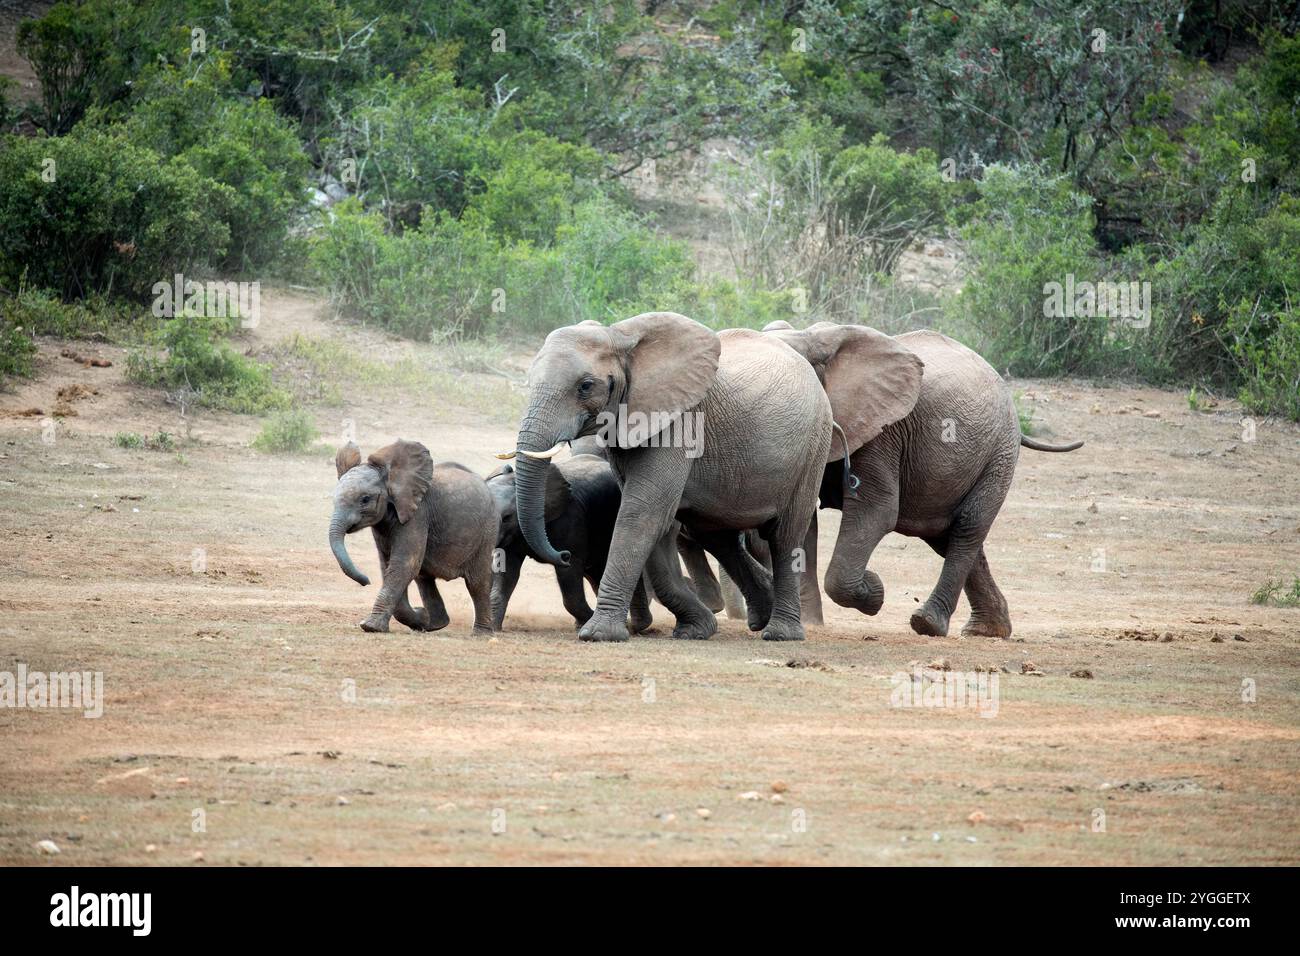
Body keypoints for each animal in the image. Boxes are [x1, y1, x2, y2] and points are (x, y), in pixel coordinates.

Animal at [329, 439, 498, 634]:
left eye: (365, 499)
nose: (366, 582)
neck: (391, 477)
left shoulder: (418, 514)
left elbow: (403, 564)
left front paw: (370, 627)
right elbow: (389, 565)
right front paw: (421, 617)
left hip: (487, 530)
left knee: (478, 582)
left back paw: (480, 633)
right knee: (424, 577)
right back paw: (434, 624)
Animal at [486, 454, 653, 633]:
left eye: (507, 517)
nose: (564, 555)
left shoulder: (570, 520)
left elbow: (570, 573)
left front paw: (588, 622)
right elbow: (507, 571)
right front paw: (494, 628)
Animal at [764, 321, 1083, 638]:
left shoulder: (882, 434)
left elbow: (878, 511)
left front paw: (875, 590)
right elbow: (805, 520)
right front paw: (809, 622)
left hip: (999, 453)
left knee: (967, 528)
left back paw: (928, 623)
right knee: (948, 536)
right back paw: (988, 630)